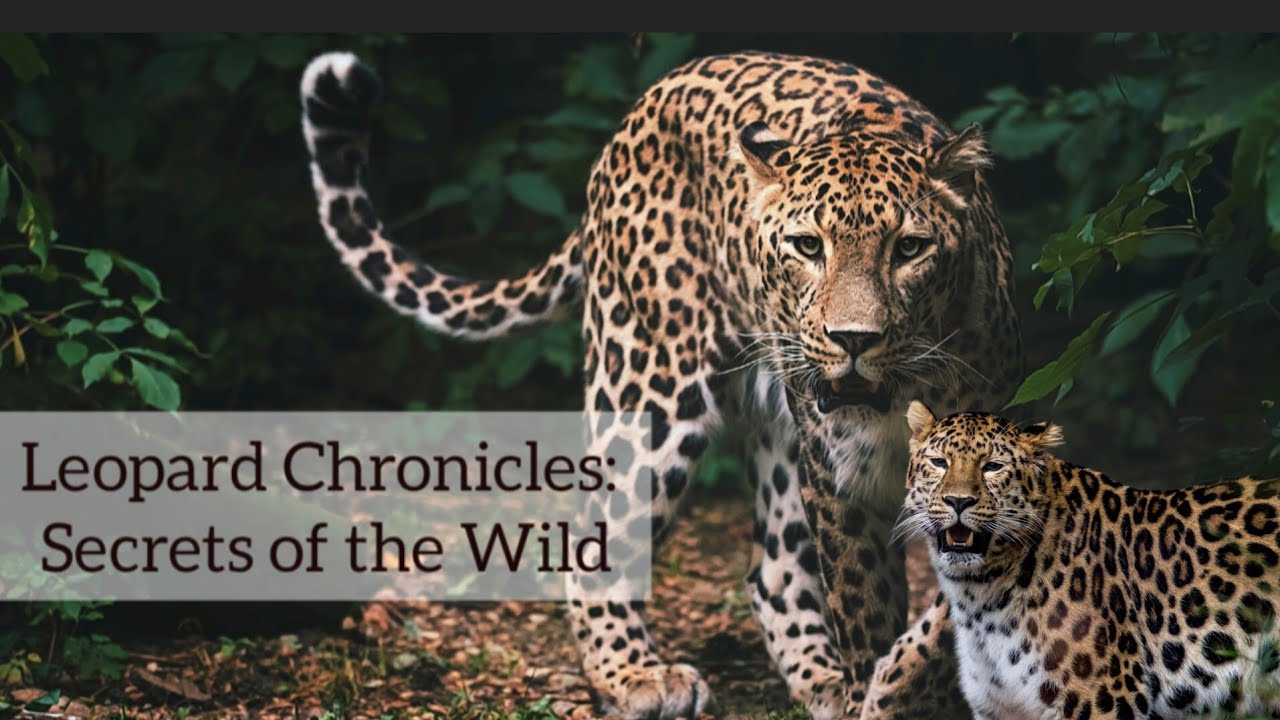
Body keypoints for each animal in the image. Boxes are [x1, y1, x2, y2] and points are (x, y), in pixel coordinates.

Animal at [299, 47, 1023, 719]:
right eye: (807, 246)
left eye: (910, 249)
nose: (853, 340)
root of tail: (641, 109)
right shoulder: (841, 480)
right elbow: (869, 607)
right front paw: (885, 686)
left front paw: (898, 682)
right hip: (648, 387)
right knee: (594, 539)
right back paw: (638, 676)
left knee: (772, 570)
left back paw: (820, 681)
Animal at [898, 400, 1280, 720]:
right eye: (939, 463)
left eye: (993, 467)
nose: (958, 501)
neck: (979, 593)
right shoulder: (1000, 708)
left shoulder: (1100, 699)